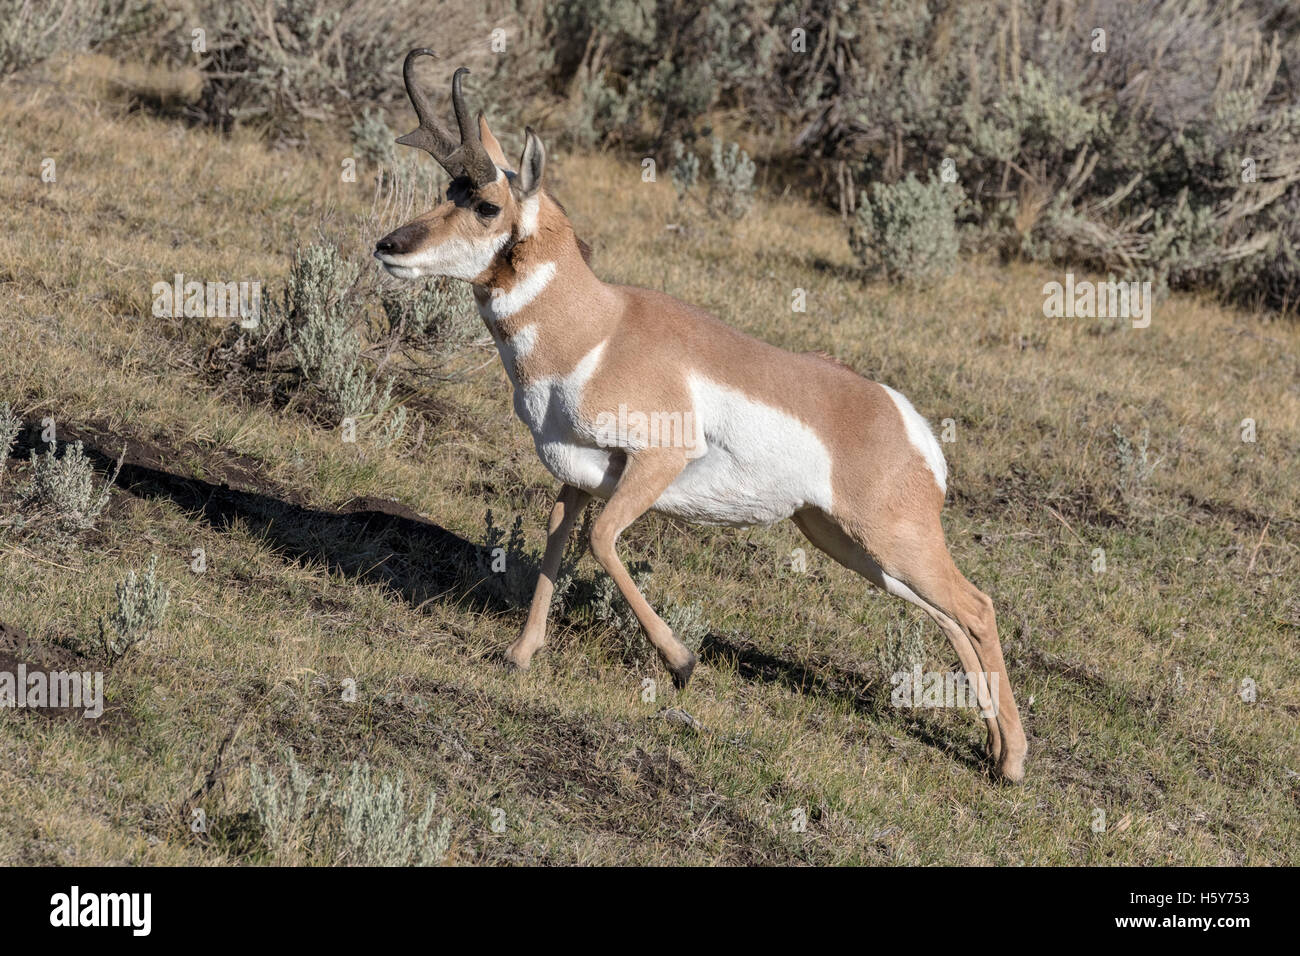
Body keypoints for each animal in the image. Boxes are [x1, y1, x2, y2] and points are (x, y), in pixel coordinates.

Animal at [374, 50, 1028, 782]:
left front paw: (682, 663)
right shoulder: (576, 474)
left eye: (487, 204)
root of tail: (900, 414)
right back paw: (993, 748)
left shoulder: (654, 464)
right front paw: (519, 654)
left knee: (977, 606)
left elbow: (602, 540)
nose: (389, 246)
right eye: (446, 191)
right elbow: (555, 541)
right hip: (849, 543)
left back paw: (1013, 762)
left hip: (891, 540)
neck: (598, 328)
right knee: (949, 617)